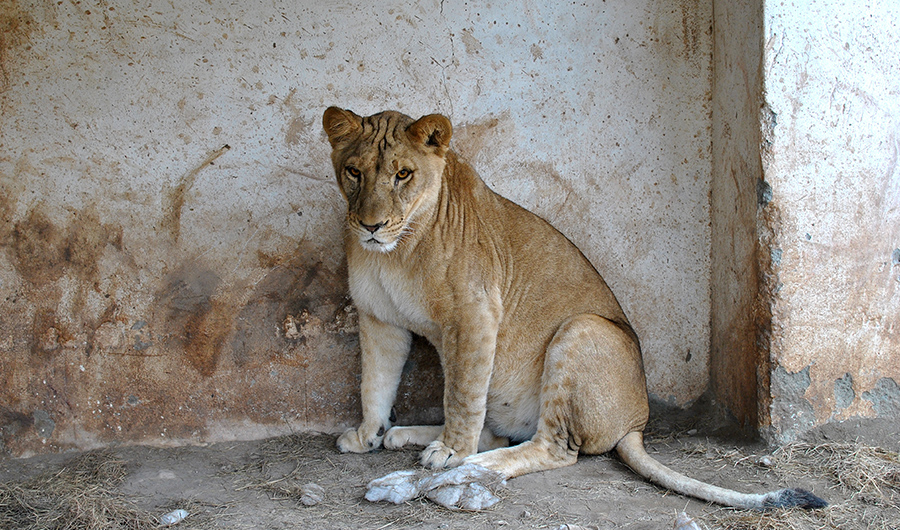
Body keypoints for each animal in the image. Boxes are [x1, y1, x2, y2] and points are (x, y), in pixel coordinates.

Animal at [321, 107, 825, 510]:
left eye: (403, 174)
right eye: (354, 172)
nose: (370, 226)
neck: (397, 252)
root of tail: (638, 420)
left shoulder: (475, 313)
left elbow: (463, 395)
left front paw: (450, 452)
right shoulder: (379, 318)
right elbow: (374, 383)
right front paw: (368, 434)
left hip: (583, 329)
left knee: (552, 447)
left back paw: (468, 463)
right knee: (499, 430)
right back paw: (406, 434)